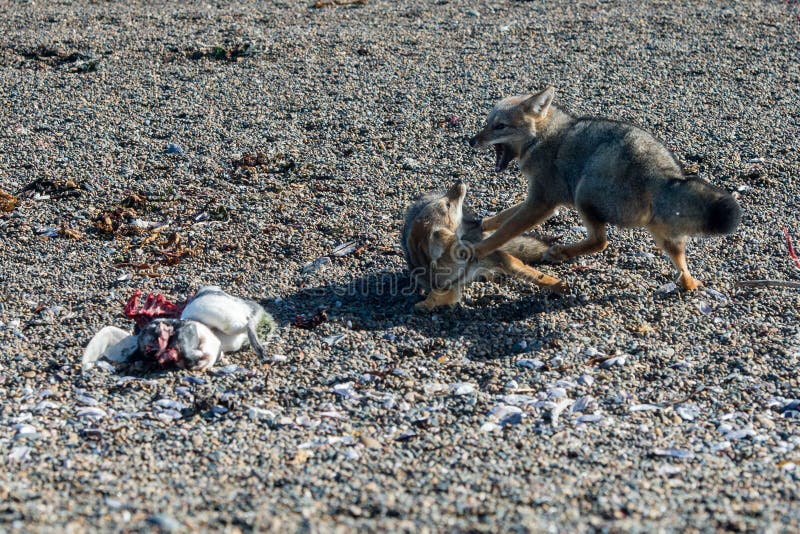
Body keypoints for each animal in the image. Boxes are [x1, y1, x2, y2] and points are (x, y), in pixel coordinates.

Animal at [401, 180, 565, 311]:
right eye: (447, 205)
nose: (459, 180)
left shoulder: (499, 258)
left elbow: (536, 275)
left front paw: (560, 285)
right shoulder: (450, 287)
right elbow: (435, 295)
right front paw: (425, 304)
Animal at [468, 86, 741, 290]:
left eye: (500, 126)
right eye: (487, 123)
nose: (471, 141)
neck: (544, 135)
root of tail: (664, 175)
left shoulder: (542, 201)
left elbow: (506, 230)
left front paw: (479, 248)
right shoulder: (540, 200)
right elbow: (505, 216)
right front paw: (483, 223)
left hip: (583, 191)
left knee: (601, 242)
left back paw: (560, 252)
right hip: (661, 230)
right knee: (679, 263)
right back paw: (688, 283)